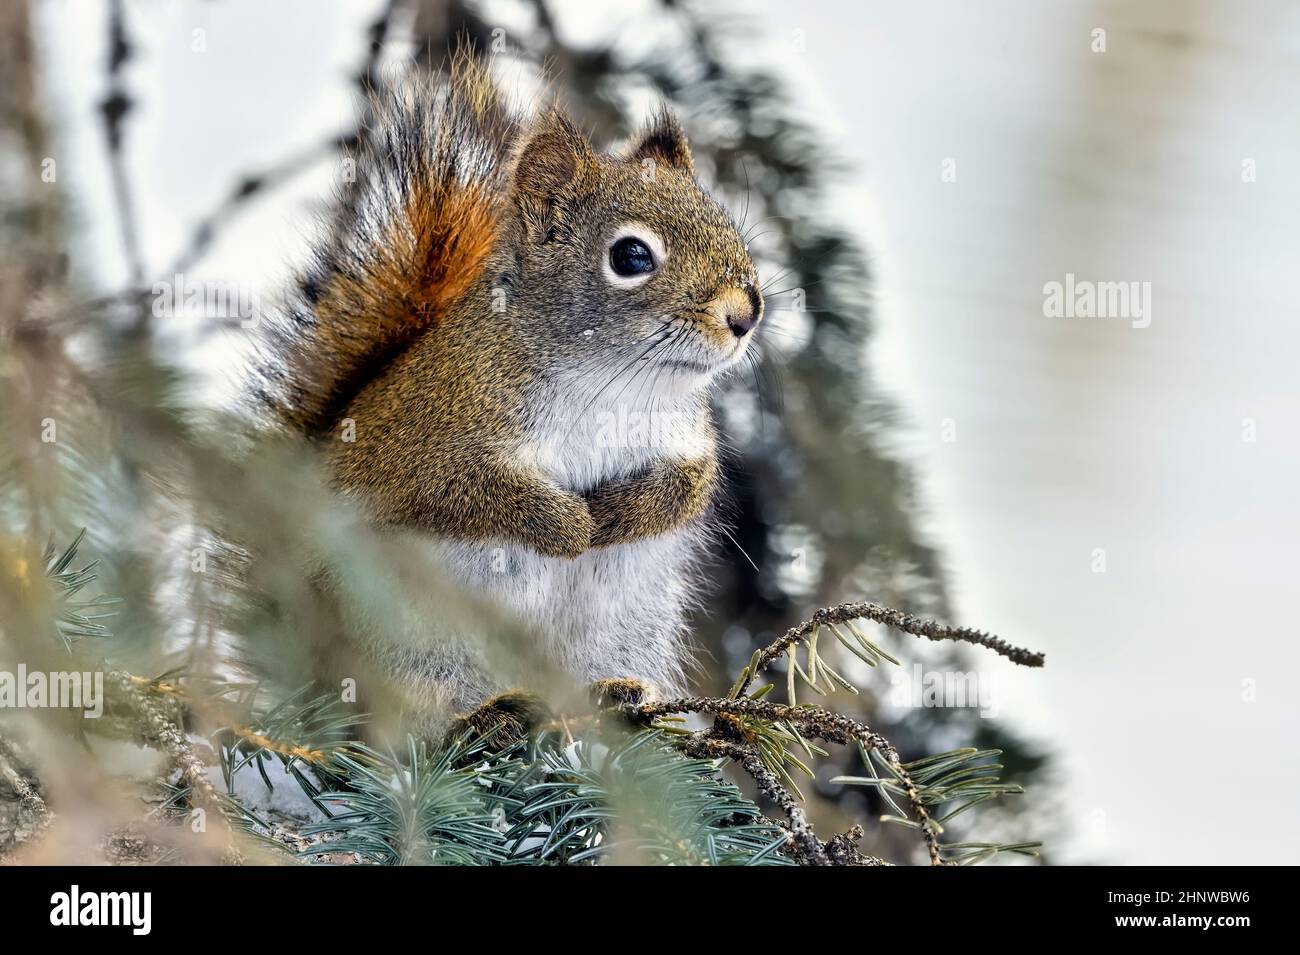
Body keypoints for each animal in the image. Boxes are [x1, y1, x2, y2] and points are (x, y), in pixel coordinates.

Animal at [259, 54, 763, 737]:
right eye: (632, 255)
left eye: (729, 228)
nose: (746, 314)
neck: (609, 378)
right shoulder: (427, 442)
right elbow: (457, 493)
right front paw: (570, 525)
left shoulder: (687, 438)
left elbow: (687, 487)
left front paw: (620, 514)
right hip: (406, 648)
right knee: (405, 726)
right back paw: (484, 717)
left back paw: (614, 695)